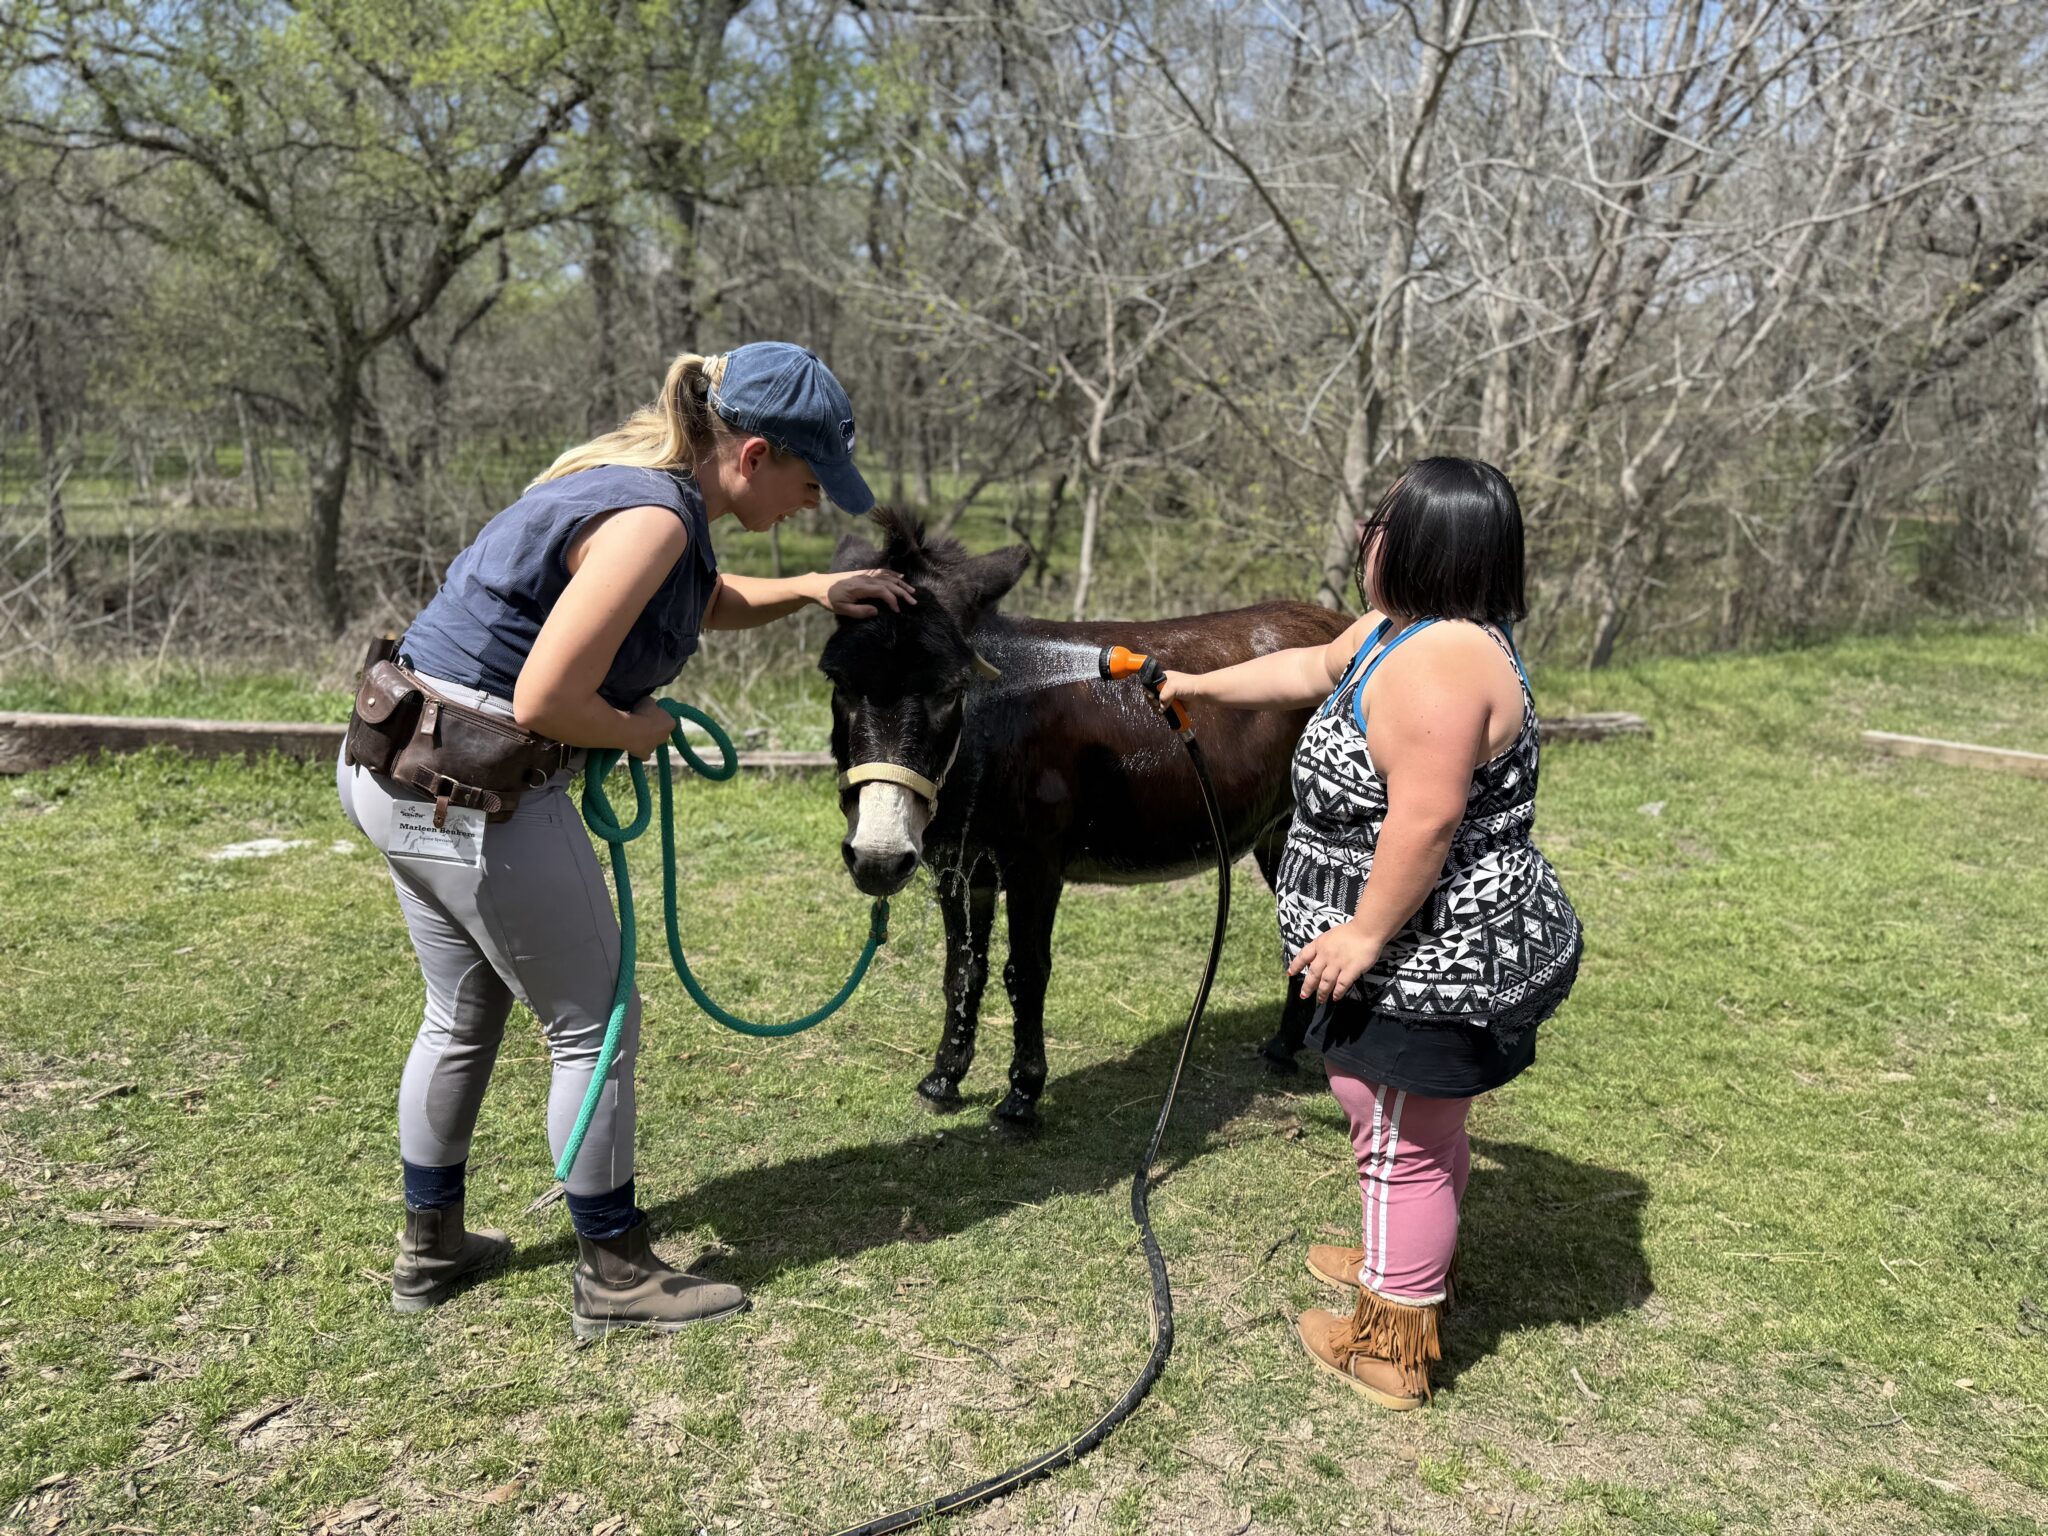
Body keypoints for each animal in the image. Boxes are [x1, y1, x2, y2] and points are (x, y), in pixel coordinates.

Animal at [821, 509, 1352, 1129]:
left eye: (951, 690)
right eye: (838, 684)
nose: (877, 858)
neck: (994, 730)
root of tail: (1350, 623)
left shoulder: (1035, 865)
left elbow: (1025, 972)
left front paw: (1022, 1096)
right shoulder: (960, 863)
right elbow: (963, 969)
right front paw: (943, 1078)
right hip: (1278, 833)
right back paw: (1283, 1049)